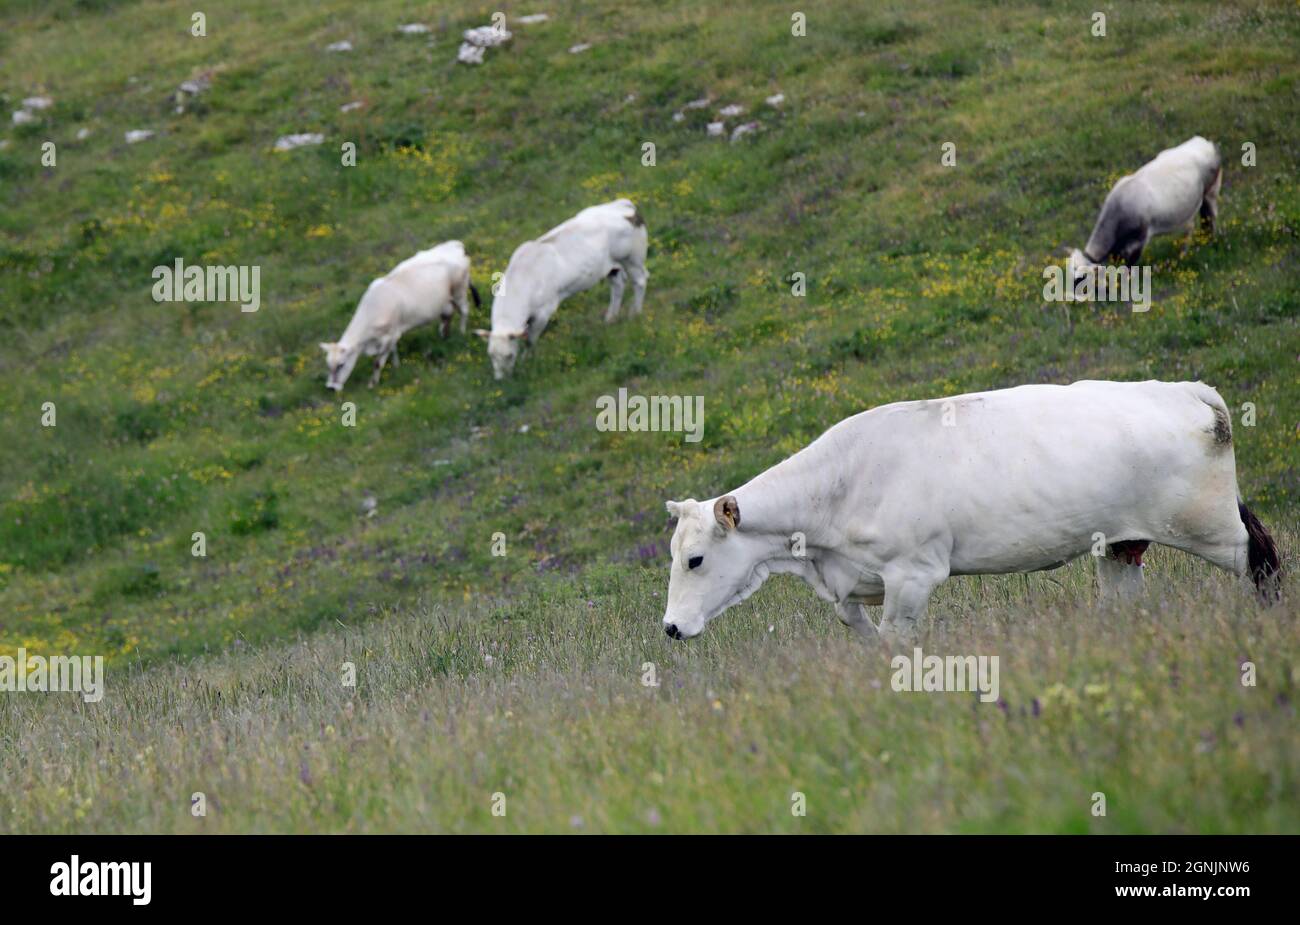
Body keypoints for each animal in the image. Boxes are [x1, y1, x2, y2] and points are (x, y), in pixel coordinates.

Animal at [320, 241, 479, 390]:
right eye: (328, 365)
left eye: (341, 365)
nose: (331, 388)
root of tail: (456, 244)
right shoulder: (392, 333)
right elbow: (394, 349)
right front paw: (396, 365)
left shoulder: (390, 335)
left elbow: (378, 362)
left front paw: (373, 383)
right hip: (446, 301)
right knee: (448, 315)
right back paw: (444, 335)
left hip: (460, 291)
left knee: (464, 310)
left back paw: (461, 332)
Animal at [475, 198, 648, 380]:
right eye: (491, 355)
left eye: (509, 356)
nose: (501, 380)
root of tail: (622, 204)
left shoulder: (544, 312)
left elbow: (530, 340)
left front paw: (526, 360)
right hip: (611, 267)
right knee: (618, 286)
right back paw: (610, 318)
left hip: (632, 259)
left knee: (640, 281)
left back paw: (635, 314)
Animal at [661, 380, 1280, 648]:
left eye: (695, 559)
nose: (669, 627)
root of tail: (1181, 389)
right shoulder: (849, 585)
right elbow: (862, 632)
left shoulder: (913, 574)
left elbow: (896, 641)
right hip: (1119, 544)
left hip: (1209, 525)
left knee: (1261, 558)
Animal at [1067, 136, 1222, 288]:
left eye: (1081, 278)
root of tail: (1204, 142)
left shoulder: (1139, 240)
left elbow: (1128, 265)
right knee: (1195, 225)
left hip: (1211, 191)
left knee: (1211, 217)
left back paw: (1209, 241)